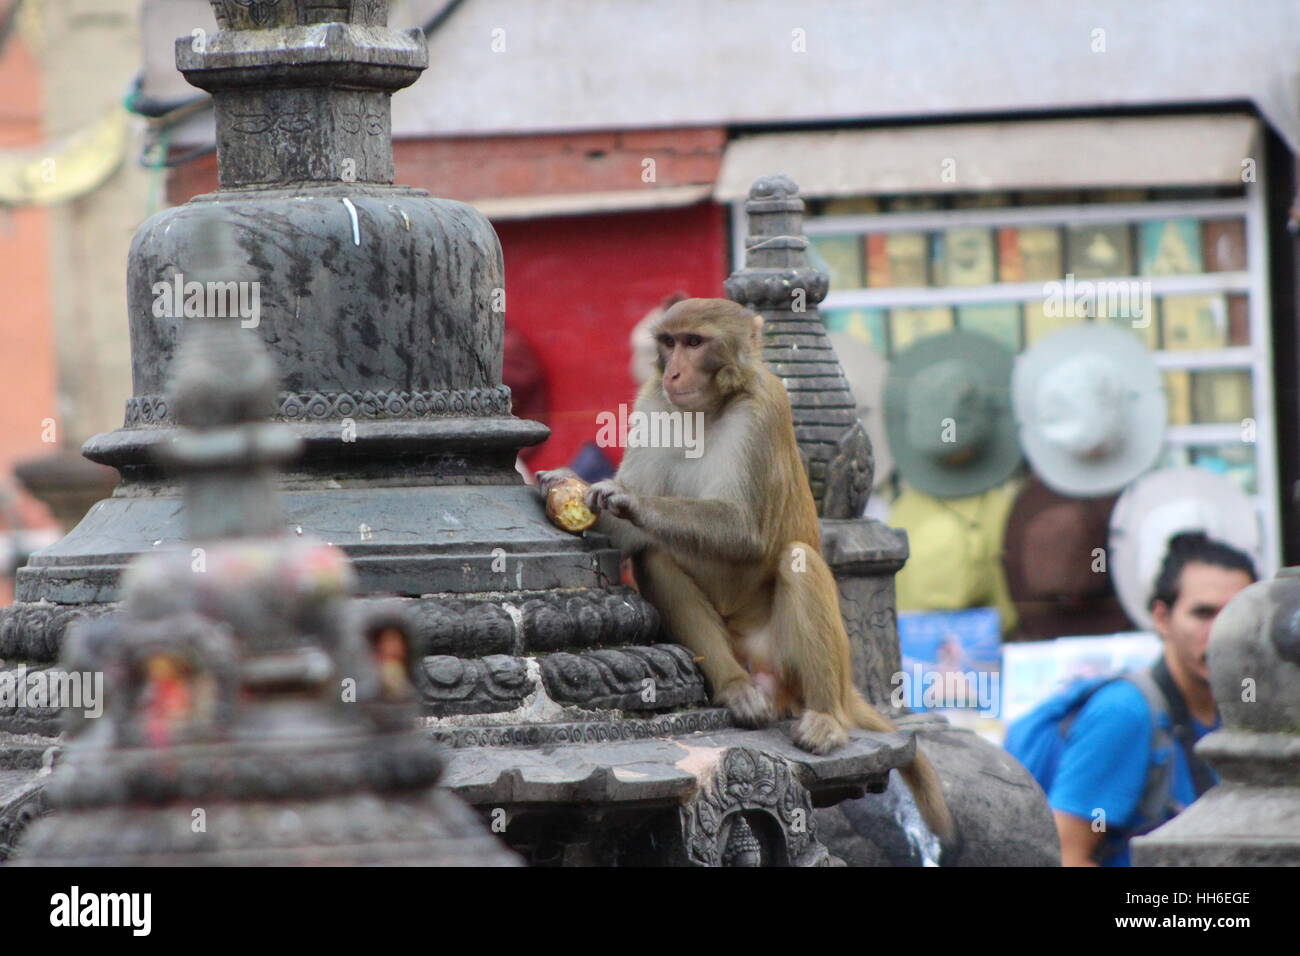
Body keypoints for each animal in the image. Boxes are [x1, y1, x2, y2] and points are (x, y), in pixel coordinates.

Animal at [538, 298, 952, 839]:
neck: (709, 409)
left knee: (798, 560)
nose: (672, 370)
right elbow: (631, 542)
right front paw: (568, 488)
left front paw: (625, 498)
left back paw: (827, 718)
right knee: (657, 557)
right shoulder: (654, 404)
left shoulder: (765, 407)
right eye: (668, 342)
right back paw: (736, 689)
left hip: (789, 663)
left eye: (694, 342)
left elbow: (747, 532)